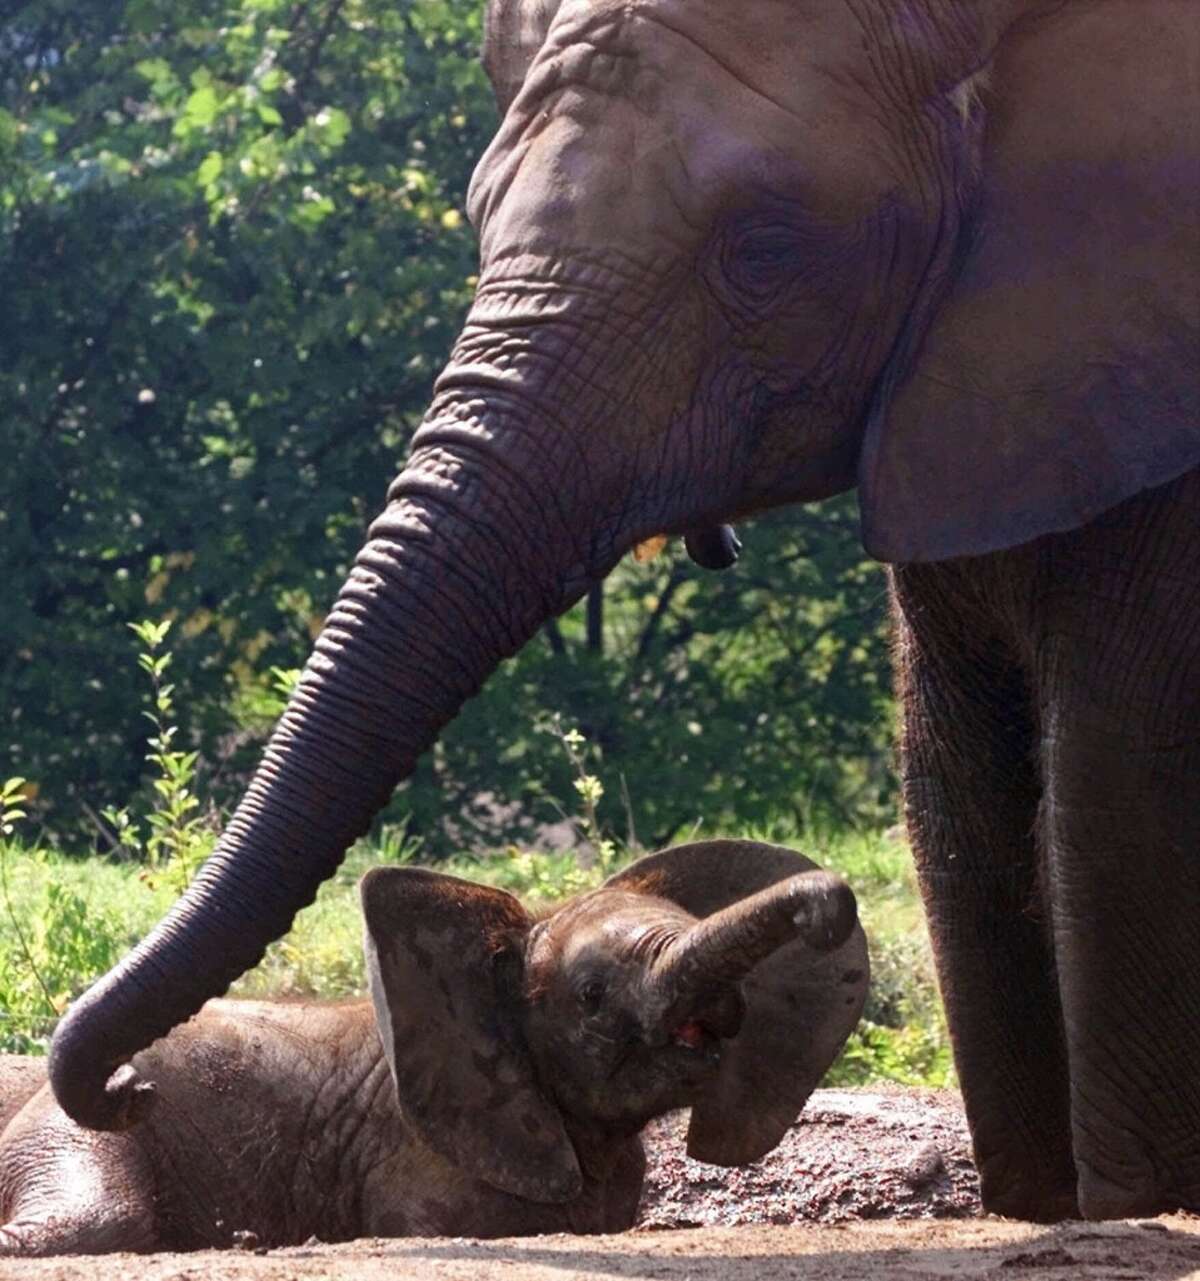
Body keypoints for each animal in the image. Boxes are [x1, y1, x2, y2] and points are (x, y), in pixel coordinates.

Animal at [47, 0, 1199, 1225]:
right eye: (478, 216)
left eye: (765, 248)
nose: (125, 1089)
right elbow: (959, 795)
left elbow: (1115, 801)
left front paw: (1134, 1207)